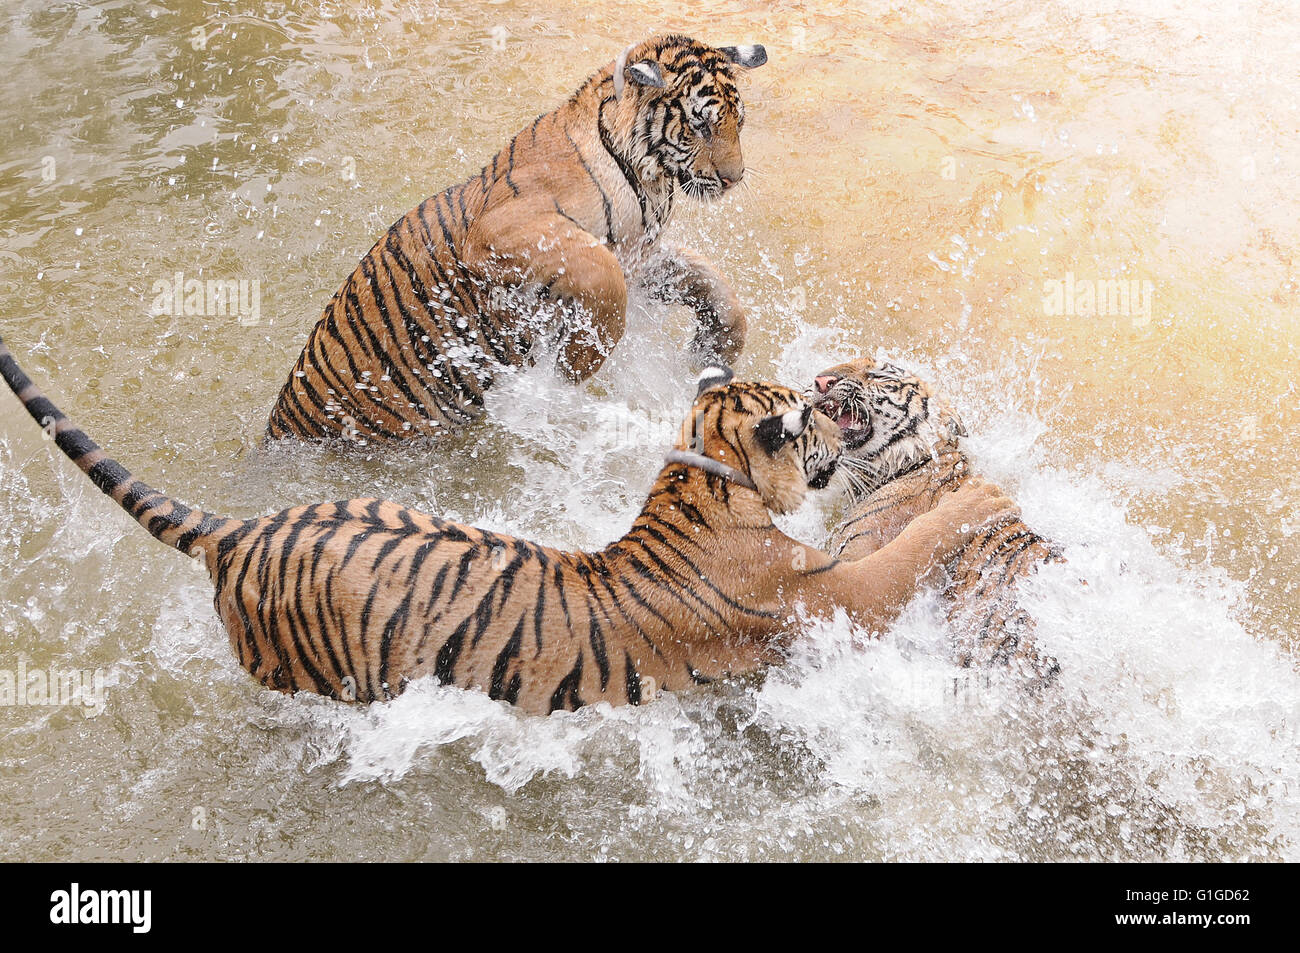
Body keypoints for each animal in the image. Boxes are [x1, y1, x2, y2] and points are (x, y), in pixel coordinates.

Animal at [1, 335, 1017, 715]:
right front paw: (984, 495)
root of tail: (238, 533)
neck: (698, 476)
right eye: (808, 414)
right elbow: (905, 545)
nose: (826, 389)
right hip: (318, 673)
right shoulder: (831, 595)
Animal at [266, 34, 769, 446]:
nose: (734, 177)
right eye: (701, 125)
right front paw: (572, 365)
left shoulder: (638, 258)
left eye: (738, 123)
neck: (649, 180)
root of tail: (273, 432)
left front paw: (713, 351)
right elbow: (603, 280)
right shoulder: (513, 230)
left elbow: (713, 284)